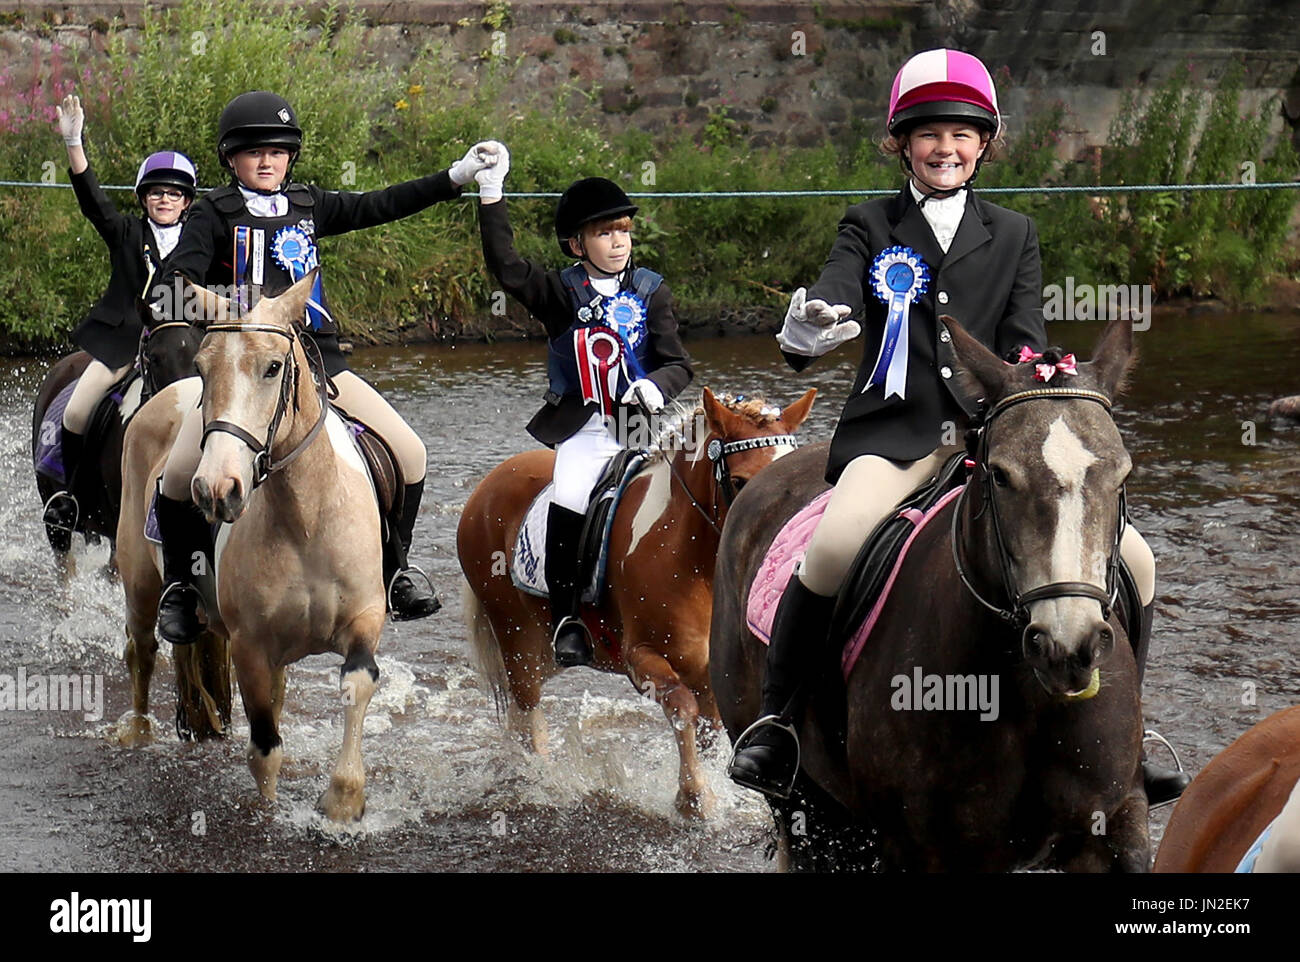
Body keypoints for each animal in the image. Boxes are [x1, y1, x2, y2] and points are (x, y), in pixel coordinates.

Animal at [118, 272, 385, 821]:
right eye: (204, 368)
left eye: (273, 367)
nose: (217, 489)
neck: (306, 519)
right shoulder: (251, 649)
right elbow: (264, 751)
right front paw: (269, 813)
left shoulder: (365, 618)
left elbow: (357, 683)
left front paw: (344, 800)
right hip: (139, 582)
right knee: (143, 652)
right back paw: (138, 732)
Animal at [458, 386, 816, 818]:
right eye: (739, 480)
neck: (689, 559)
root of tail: (489, 483)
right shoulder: (641, 659)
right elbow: (683, 709)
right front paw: (694, 797)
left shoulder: (709, 672)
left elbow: (712, 729)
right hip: (517, 639)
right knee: (528, 709)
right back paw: (538, 777)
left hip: (543, 649)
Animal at [711, 315, 1150, 871]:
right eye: (1000, 474)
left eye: (1122, 474)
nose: (1068, 646)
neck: (1022, 695)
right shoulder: (920, 847)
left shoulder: (1115, 823)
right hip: (801, 797)